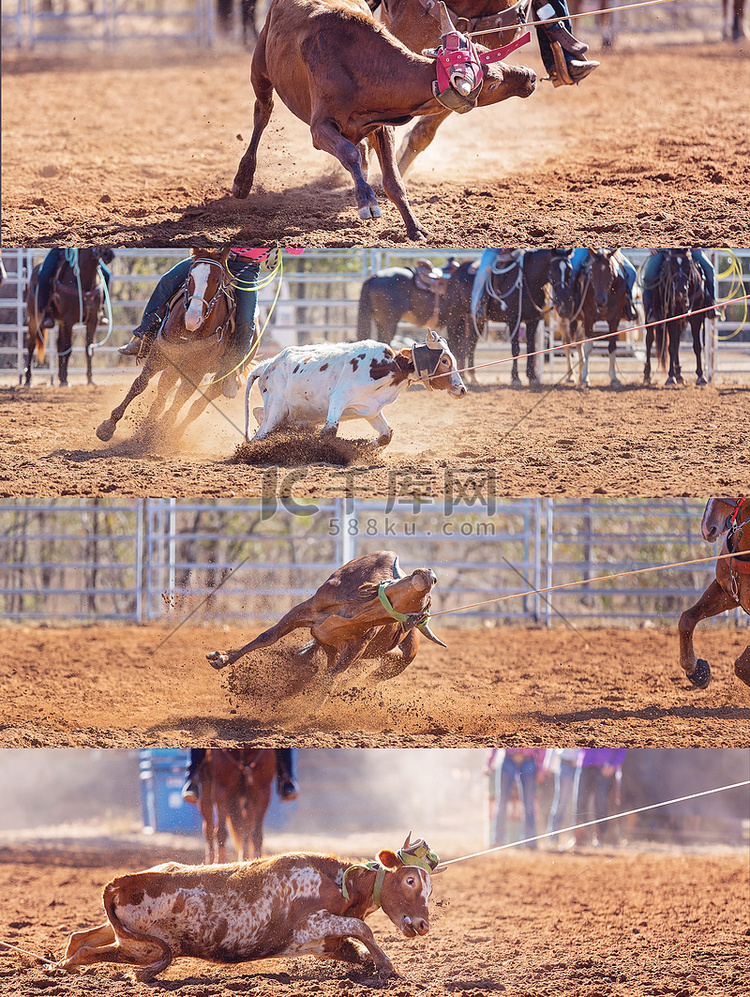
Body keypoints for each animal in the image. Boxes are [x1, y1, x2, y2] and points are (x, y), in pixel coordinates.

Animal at [57, 835, 439, 982]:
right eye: (410, 880)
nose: (422, 925)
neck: (338, 882)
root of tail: (119, 883)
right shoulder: (308, 925)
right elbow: (363, 928)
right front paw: (386, 966)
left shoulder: (324, 944)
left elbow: (354, 945)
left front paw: (375, 965)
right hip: (142, 949)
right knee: (86, 951)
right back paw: (65, 966)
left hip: (126, 938)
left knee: (80, 937)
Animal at [206, 550, 446, 695]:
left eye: (426, 603)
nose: (431, 574)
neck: (358, 609)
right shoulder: (305, 610)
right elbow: (268, 636)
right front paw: (221, 658)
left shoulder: (356, 649)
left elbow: (332, 678)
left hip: (400, 661)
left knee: (370, 677)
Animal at [231, 0, 536, 240]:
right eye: (493, 83)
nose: (530, 76)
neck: (360, 65)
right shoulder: (320, 128)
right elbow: (348, 153)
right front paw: (366, 201)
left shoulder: (381, 125)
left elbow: (393, 179)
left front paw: (414, 227)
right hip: (260, 69)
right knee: (263, 112)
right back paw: (243, 179)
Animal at [244, 330, 466, 446]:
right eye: (445, 360)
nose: (462, 389)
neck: (391, 366)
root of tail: (267, 364)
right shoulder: (339, 398)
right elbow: (329, 430)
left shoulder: (371, 409)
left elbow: (386, 435)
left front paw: (365, 447)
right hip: (277, 407)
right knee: (260, 434)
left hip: (281, 412)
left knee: (258, 412)